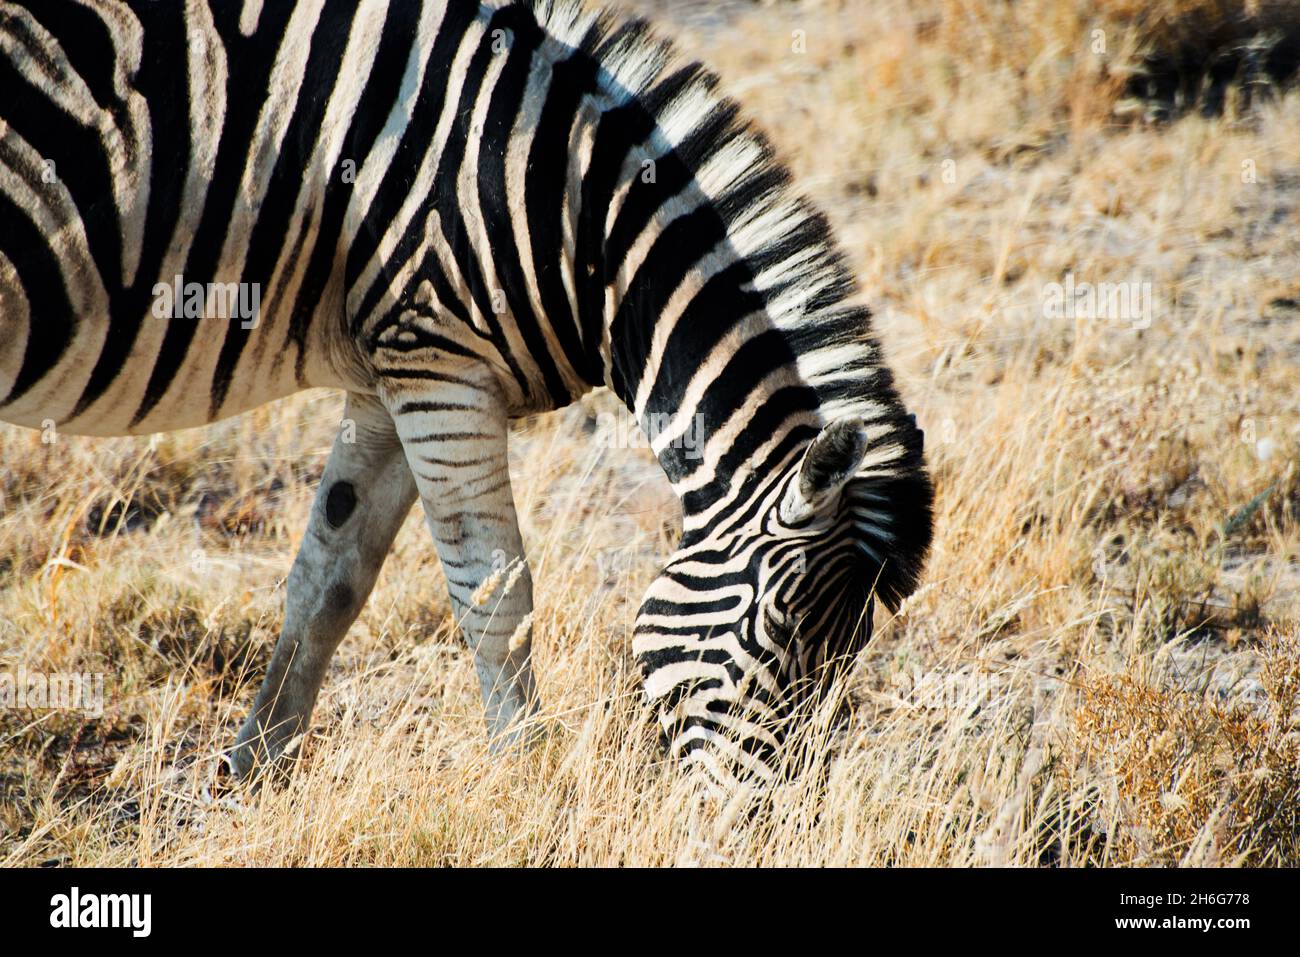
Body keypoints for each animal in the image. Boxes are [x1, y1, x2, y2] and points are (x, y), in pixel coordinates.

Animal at [0, 0, 933, 793]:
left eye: (850, 651)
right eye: (781, 632)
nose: (763, 818)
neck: (566, 216)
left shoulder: (389, 377)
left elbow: (329, 577)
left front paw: (258, 764)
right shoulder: (437, 369)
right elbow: (494, 591)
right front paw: (527, 772)